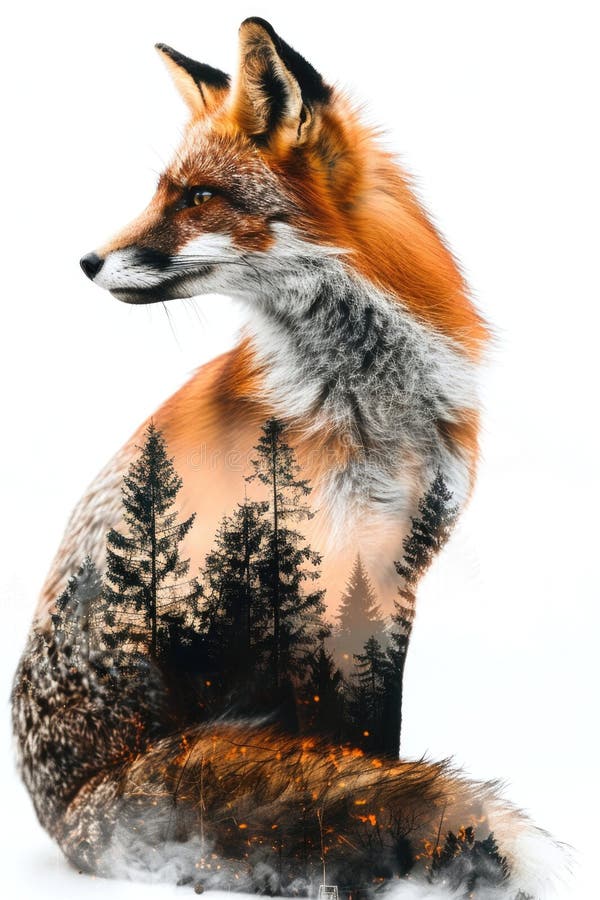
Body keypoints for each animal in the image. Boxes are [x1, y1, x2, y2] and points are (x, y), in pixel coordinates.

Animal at [12, 16, 569, 899]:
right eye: (165, 191)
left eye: (196, 196)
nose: (87, 261)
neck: (372, 408)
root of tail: (71, 803)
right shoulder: (309, 570)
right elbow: (339, 750)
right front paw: (363, 811)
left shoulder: (394, 569)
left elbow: (373, 735)